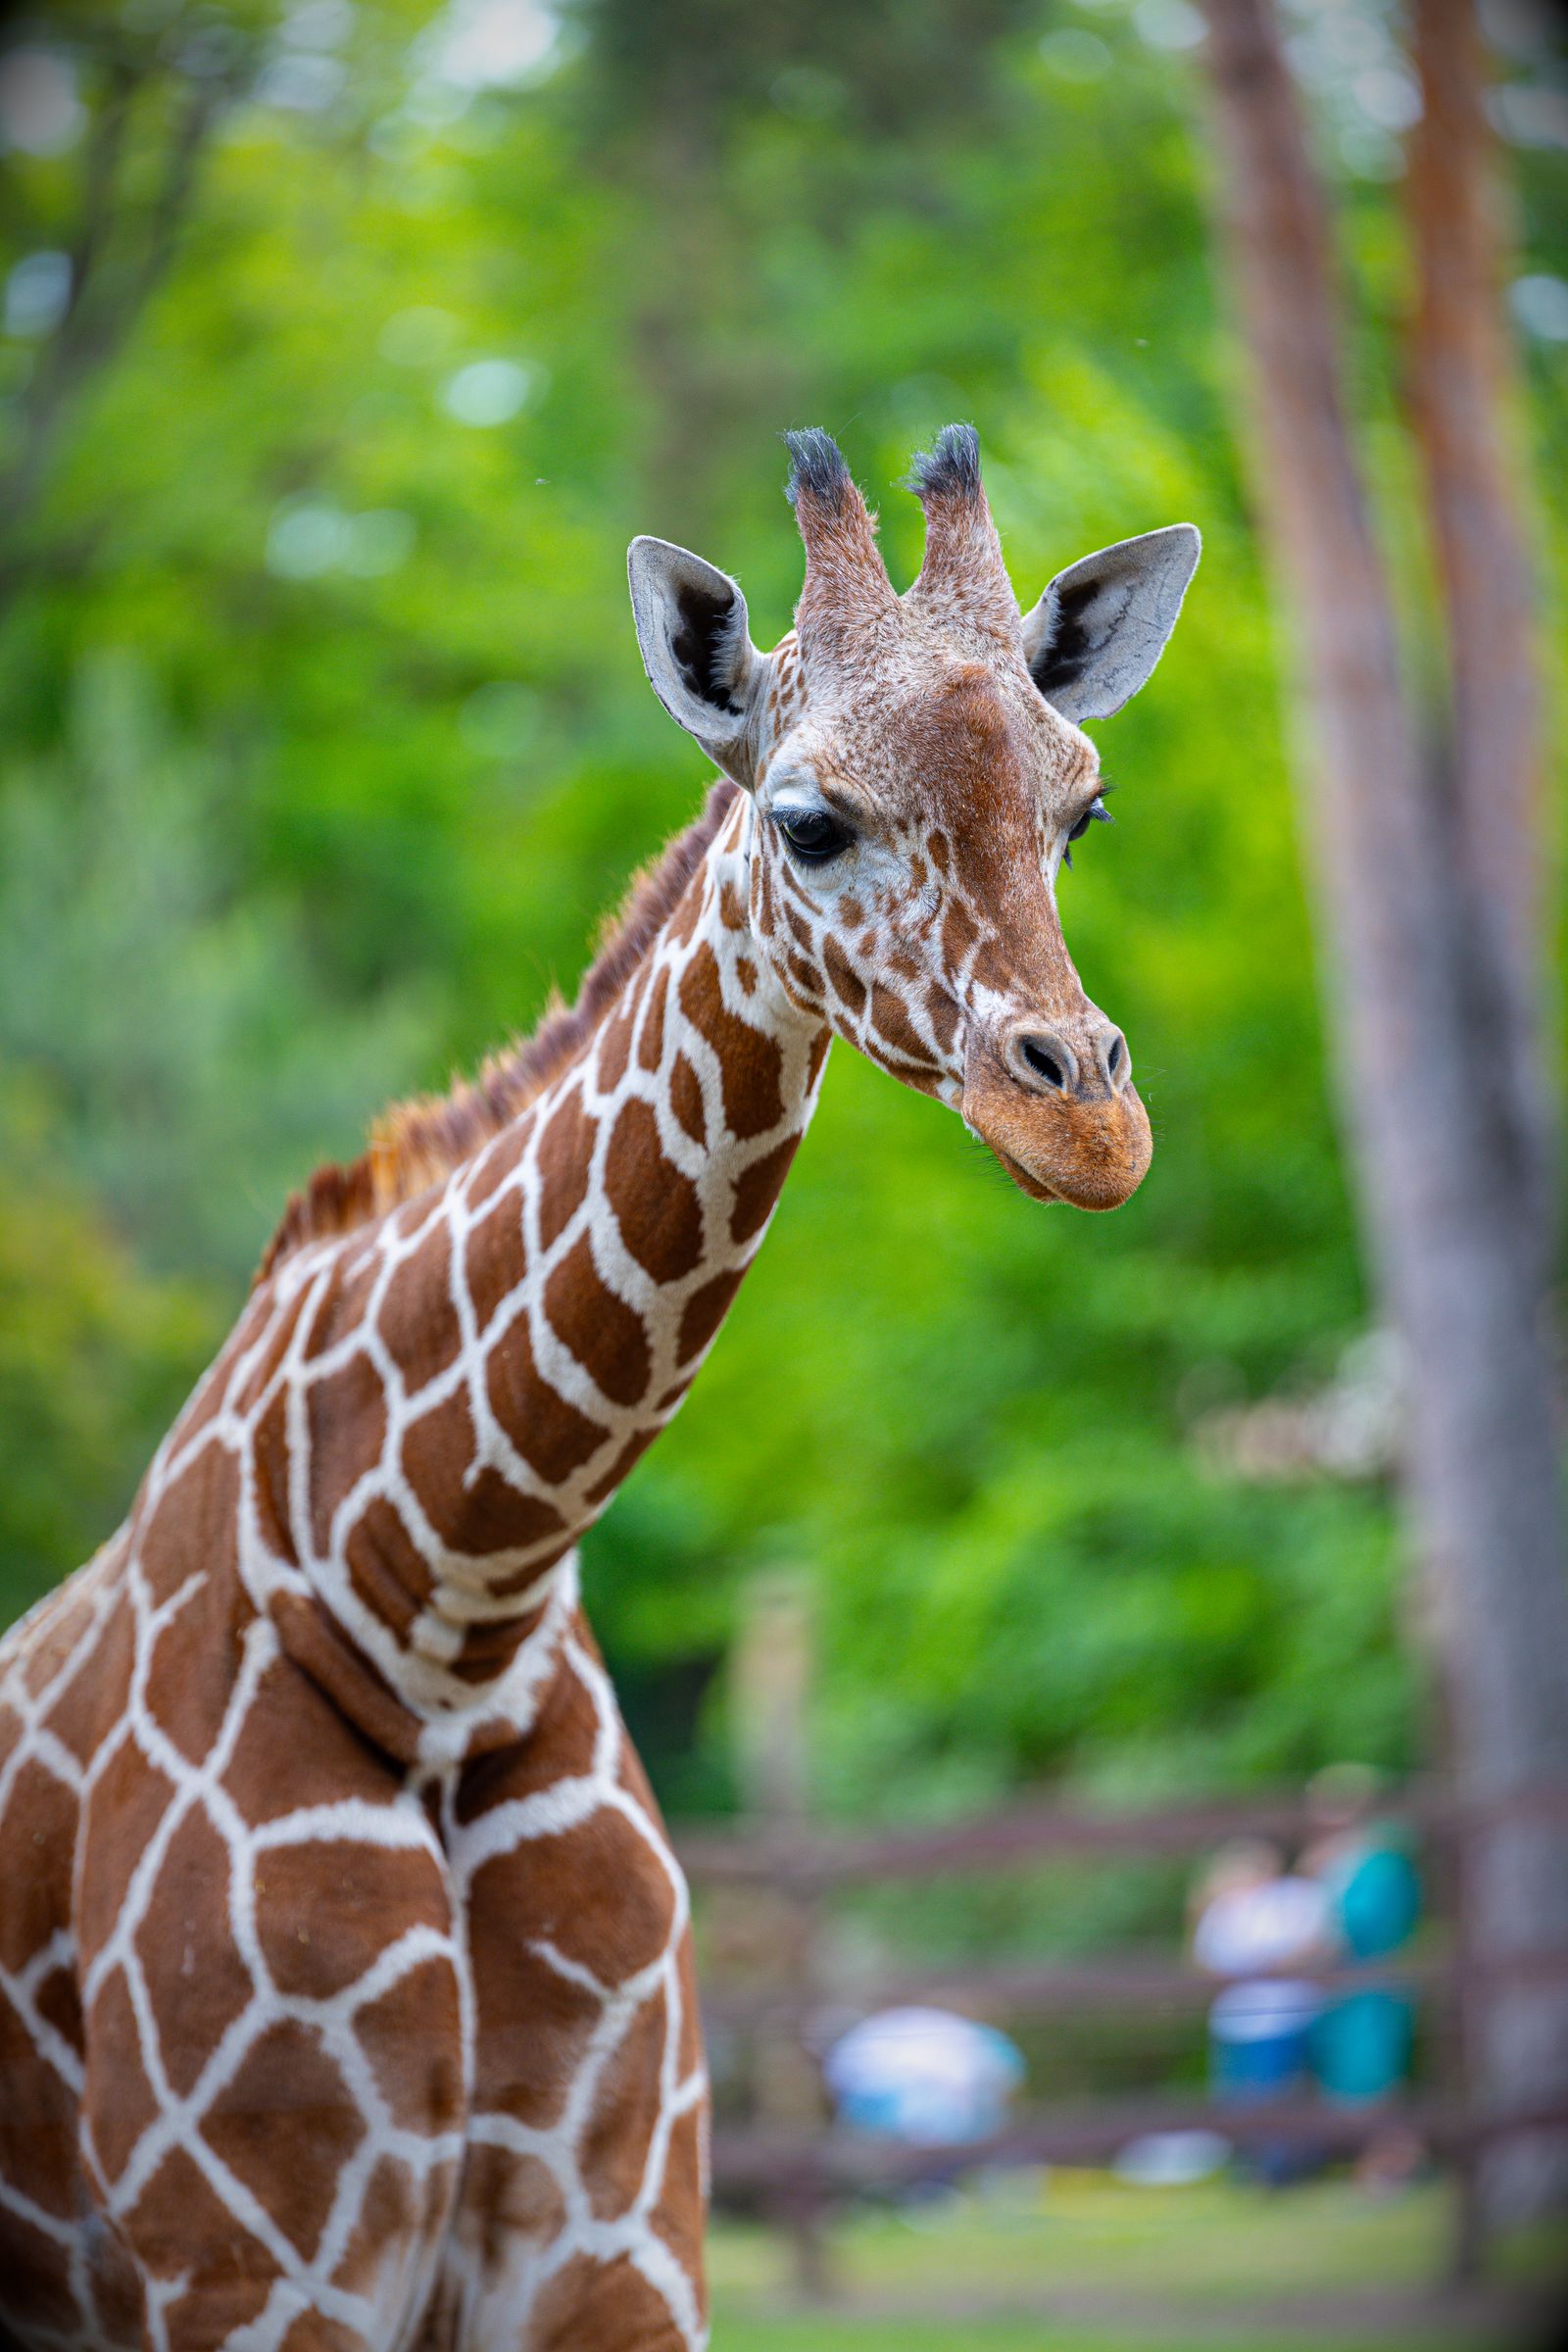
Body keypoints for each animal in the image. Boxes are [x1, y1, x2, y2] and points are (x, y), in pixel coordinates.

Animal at [0, 425, 1197, 2351]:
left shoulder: (617, 2253)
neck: (439, 1603)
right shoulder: (250, 2269)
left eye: (1080, 809)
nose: (1084, 1120)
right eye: (807, 819)